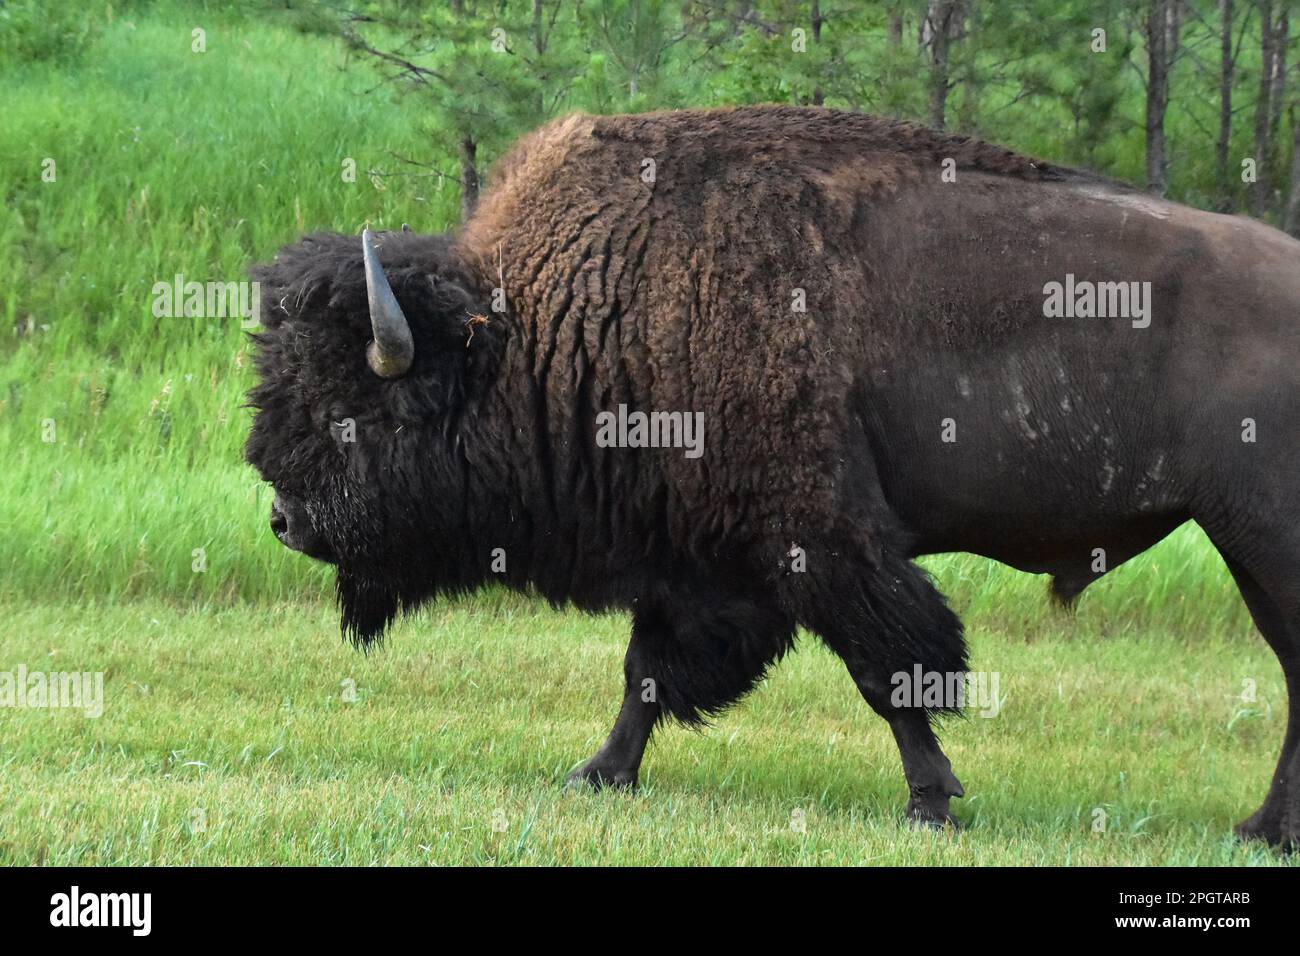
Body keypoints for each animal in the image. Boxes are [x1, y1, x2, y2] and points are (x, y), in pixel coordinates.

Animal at [246, 106, 1300, 846]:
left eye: (348, 408)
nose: (285, 521)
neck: (541, 329)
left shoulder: (822, 539)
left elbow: (893, 669)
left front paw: (931, 804)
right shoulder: (699, 557)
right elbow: (648, 671)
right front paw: (599, 774)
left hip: (1259, 535)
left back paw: (1259, 829)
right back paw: (1261, 829)